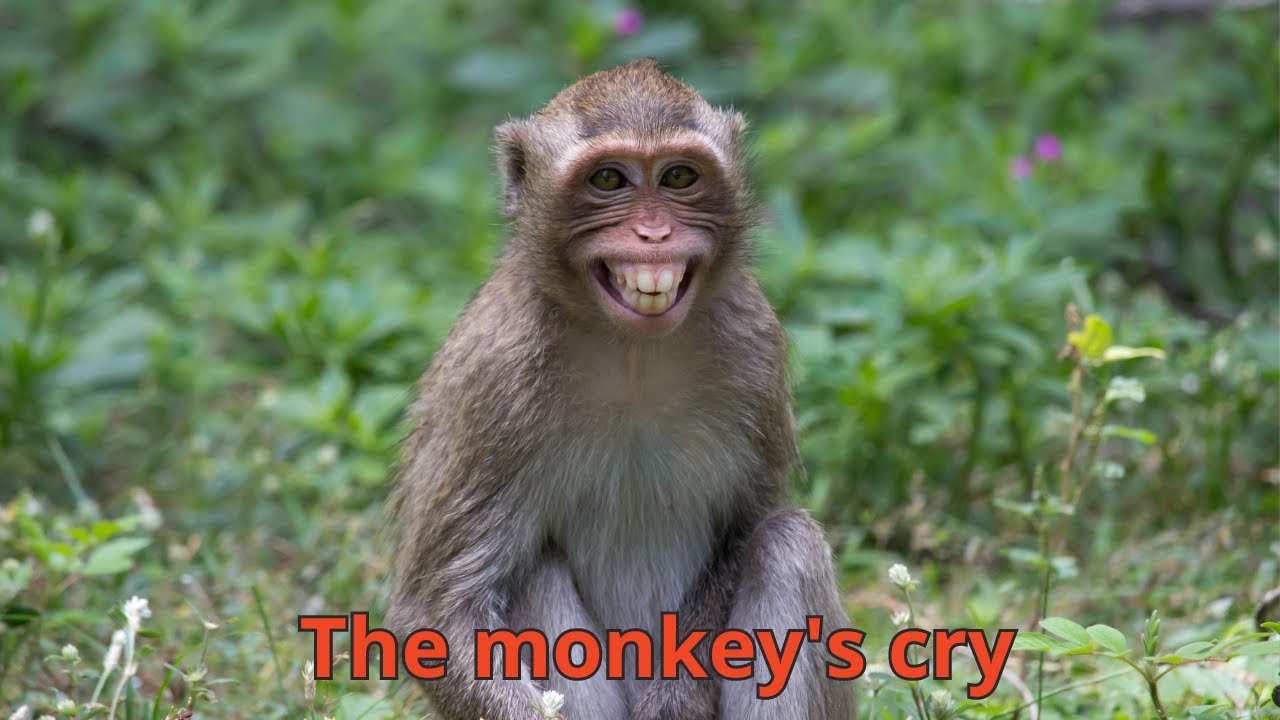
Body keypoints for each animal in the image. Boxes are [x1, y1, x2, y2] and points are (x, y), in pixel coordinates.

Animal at [387, 58, 857, 720]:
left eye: (679, 176)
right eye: (609, 179)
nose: (653, 234)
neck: (632, 352)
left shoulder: (754, 342)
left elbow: (748, 526)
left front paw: (678, 694)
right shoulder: (491, 375)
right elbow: (437, 615)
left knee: (788, 542)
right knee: (534, 573)